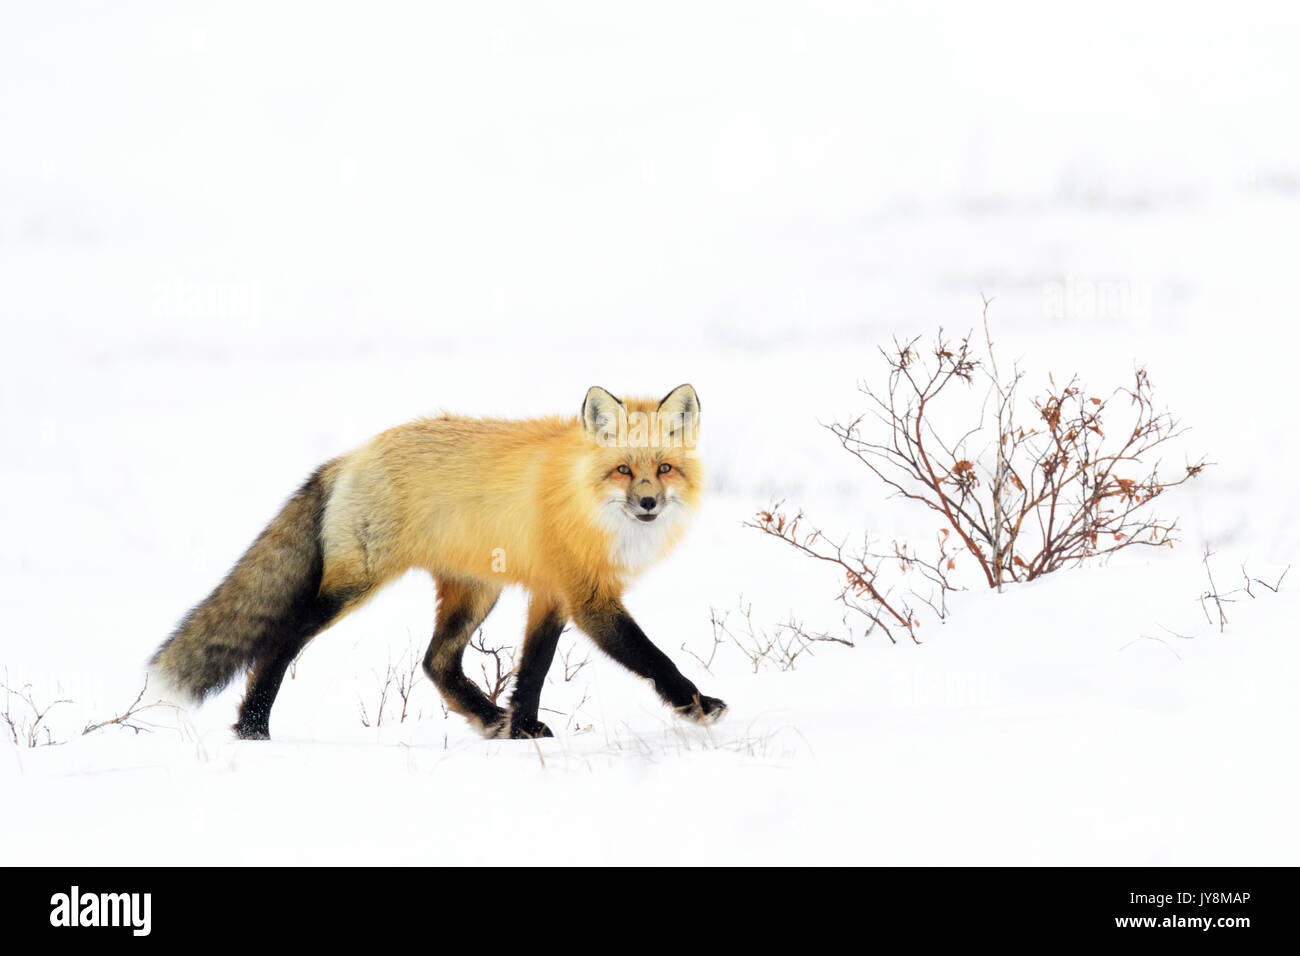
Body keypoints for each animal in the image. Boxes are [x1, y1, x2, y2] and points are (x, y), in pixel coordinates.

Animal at [149, 383, 726, 740]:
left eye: (665, 469)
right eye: (623, 470)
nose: (648, 504)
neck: (585, 503)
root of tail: (351, 455)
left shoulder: (552, 592)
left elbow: (533, 669)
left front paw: (521, 727)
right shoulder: (588, 598)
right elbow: (653, 657)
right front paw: (696, 706)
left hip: (476, 591)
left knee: (436, 662)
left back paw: (489, 719)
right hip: (354, 588)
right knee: (280, 642)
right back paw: (252, 728)